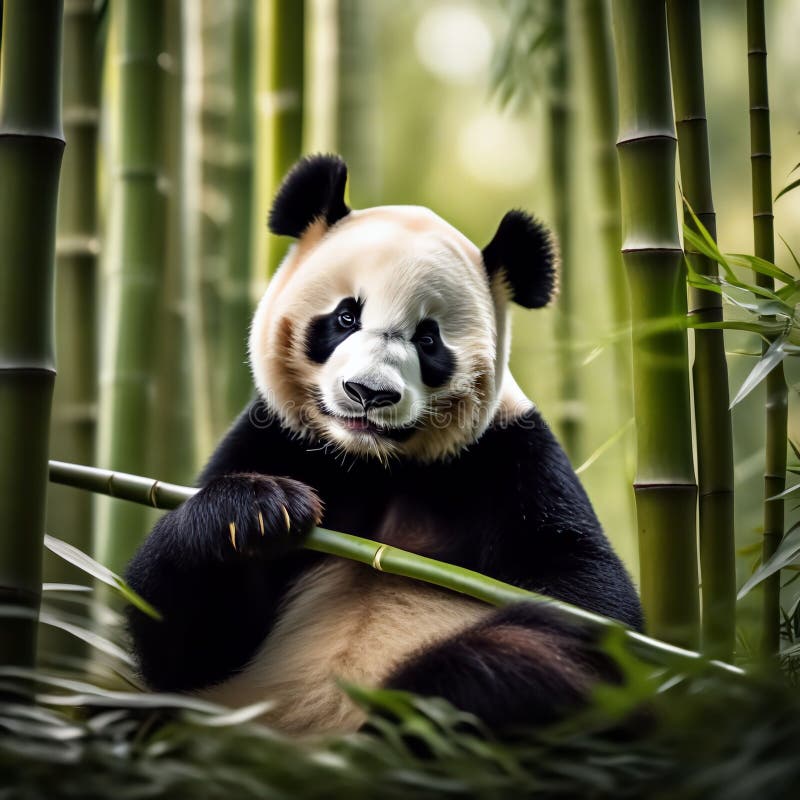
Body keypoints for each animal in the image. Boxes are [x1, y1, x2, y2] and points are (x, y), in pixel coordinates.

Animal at [125, 154, 643, 737]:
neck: (375, 464)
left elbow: (586, 608)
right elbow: (184, 644)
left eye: (428, 338)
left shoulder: (512, 458)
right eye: (346, 316)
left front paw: (428, 691)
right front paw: (254, 513)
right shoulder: (276, 439)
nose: (369, 393)